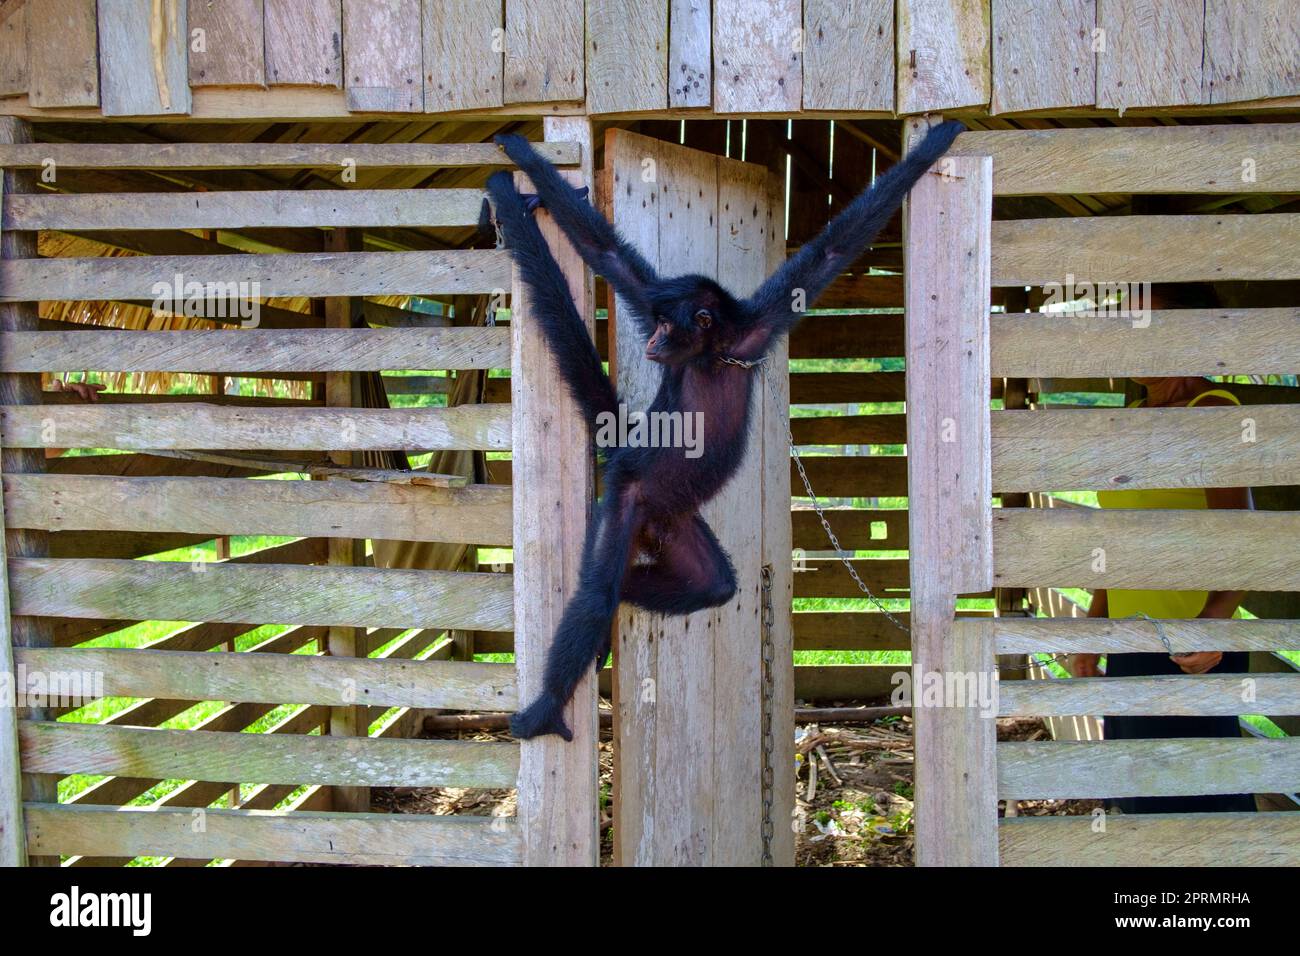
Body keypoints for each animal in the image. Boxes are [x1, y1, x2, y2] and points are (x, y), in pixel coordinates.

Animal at [486, 120, 964, 740]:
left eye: (667, 325)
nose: (652, 341)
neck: (711, 356)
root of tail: (655, 519)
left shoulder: (755, 328)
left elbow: (831, 252)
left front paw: (934, 144)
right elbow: (604, 251)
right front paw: (520, 153)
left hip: (677, 521)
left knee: (710, 586)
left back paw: (623, 606)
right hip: (629, 496)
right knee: (595, 594)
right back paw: (549, 703)